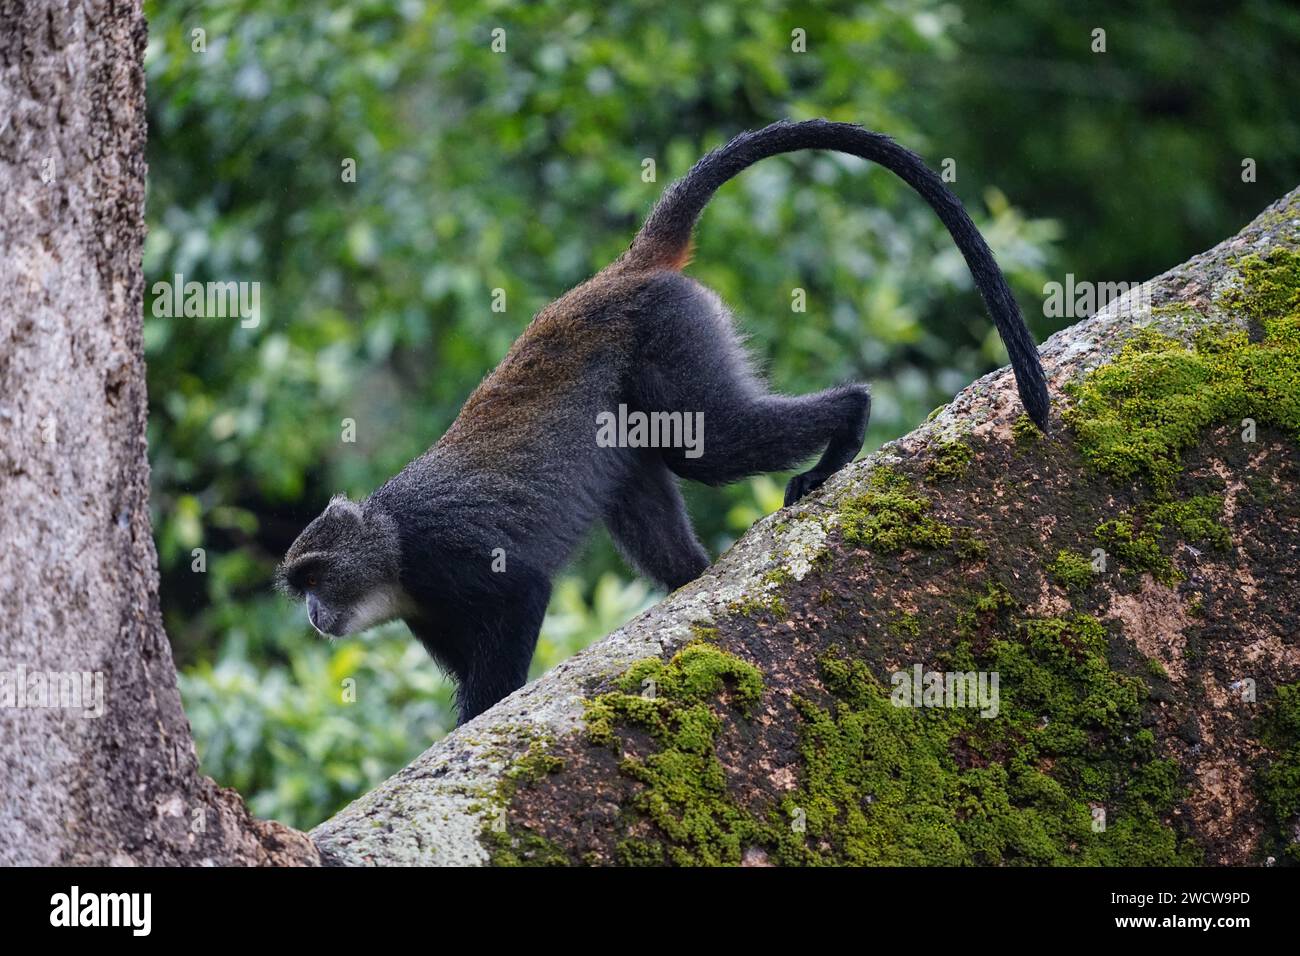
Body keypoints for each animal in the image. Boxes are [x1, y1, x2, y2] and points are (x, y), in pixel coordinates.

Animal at [276, 119, 1050, 727]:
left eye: (314, 577)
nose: (311, 615)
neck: (389, 545)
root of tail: (618, 275)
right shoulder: (427, 613)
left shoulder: (452, 557)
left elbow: (524, 594)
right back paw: (694, 575)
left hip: (671, 331)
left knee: (707, 446)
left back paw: (847, 428)